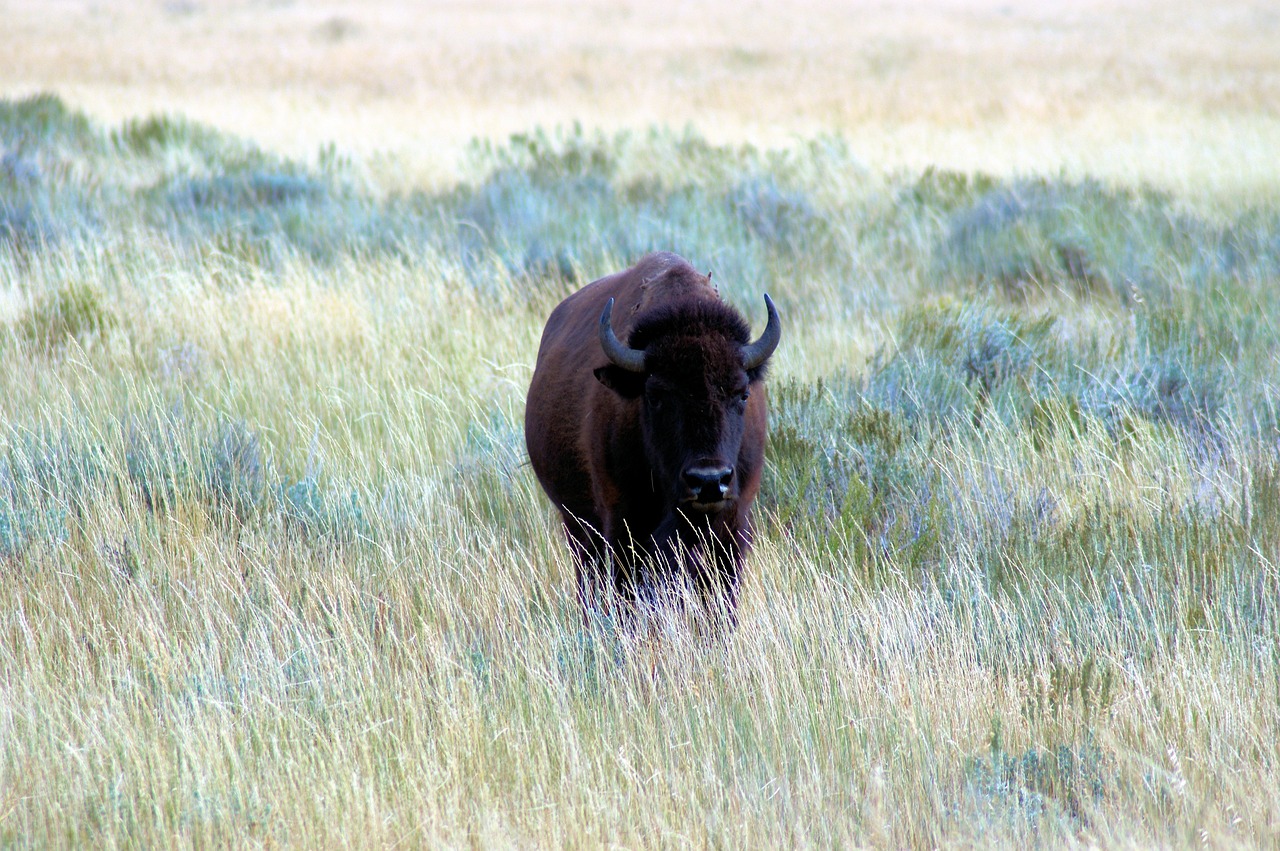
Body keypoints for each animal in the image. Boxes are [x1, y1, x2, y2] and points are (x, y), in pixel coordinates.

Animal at [524, 252, 781, 624]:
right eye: (656, 395)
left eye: (743, 393)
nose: (709, 480)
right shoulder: (623, 528)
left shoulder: (733, 527)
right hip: (578, 528)